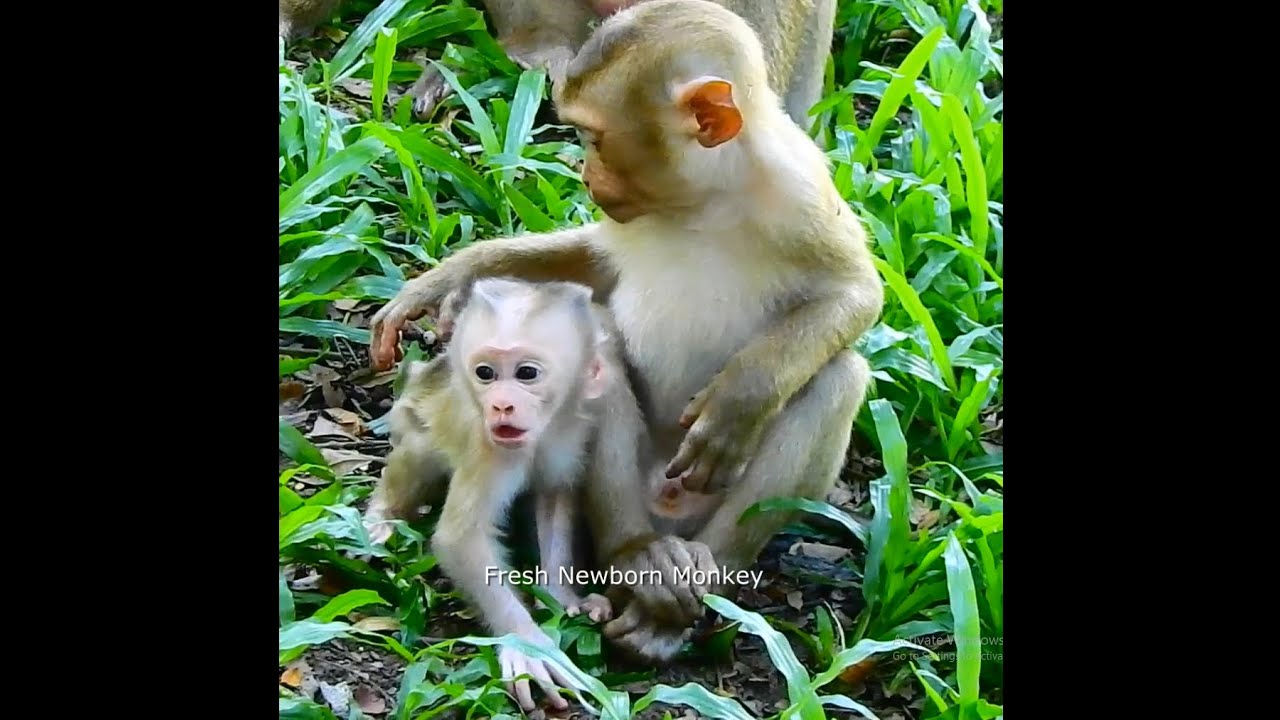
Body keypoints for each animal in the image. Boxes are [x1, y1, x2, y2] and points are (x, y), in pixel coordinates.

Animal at [369, 276, 618, 711]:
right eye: (485, 373)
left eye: (526, 373)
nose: (501, 406)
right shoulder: (489, 448)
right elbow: (460, 540)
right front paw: (529, 644)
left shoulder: (573, 430)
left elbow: (555, 494)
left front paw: (559, 595)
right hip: (408, 418)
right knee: (419, 447)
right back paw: (382, 514)